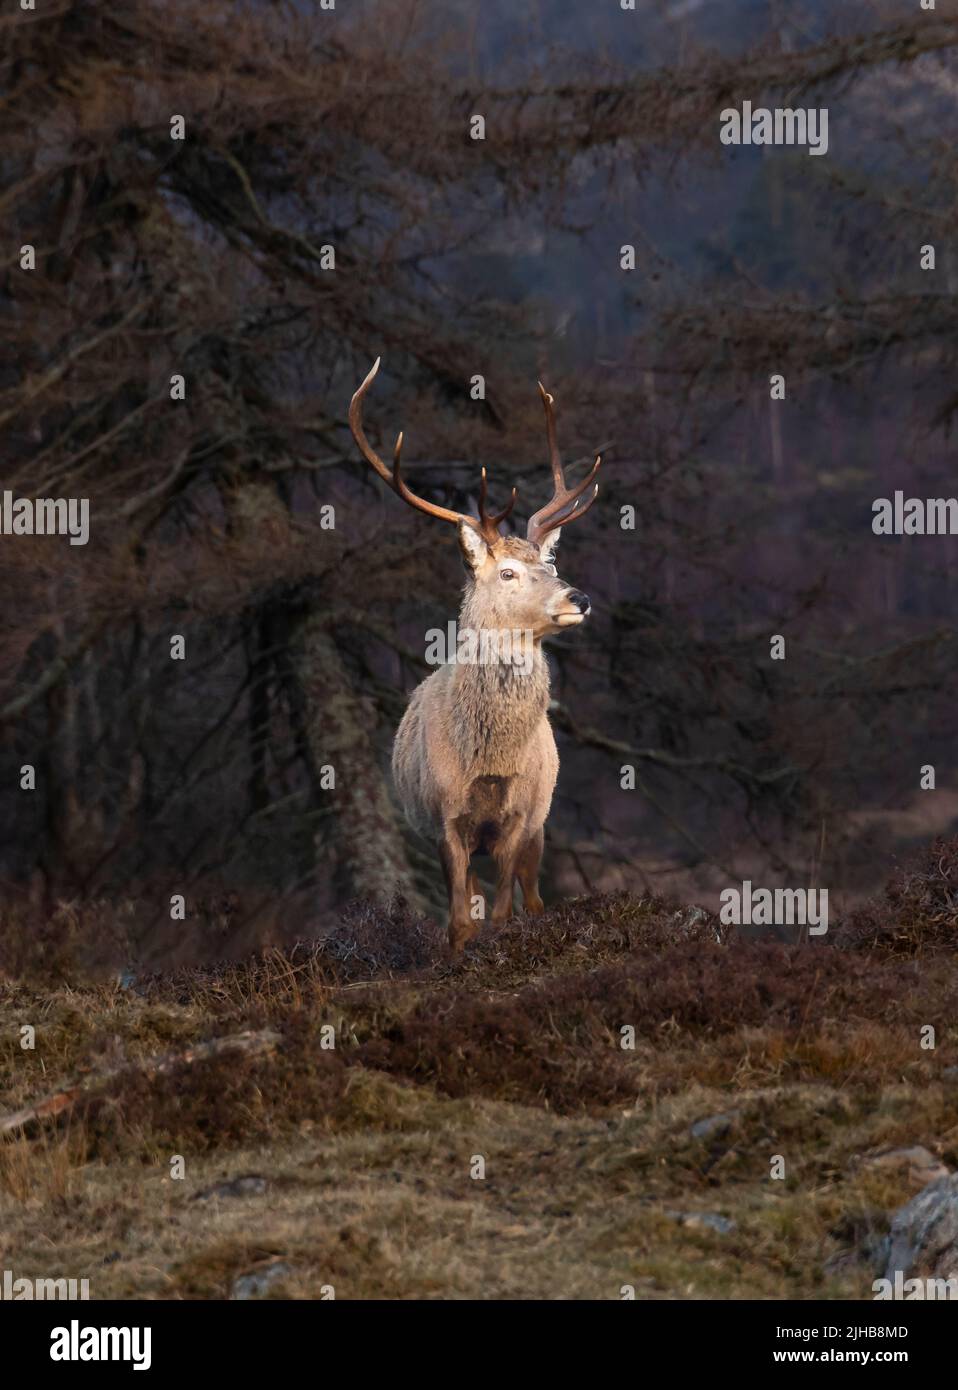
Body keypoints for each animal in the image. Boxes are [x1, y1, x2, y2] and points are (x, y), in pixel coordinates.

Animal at [349, 359, 600, 952]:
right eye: (506, 573)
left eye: (551, 565)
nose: (578, 598)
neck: (488, 762)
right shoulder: (443, 816)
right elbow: (460, 922)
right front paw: (462, 953)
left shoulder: (520, 817)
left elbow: (506, 910)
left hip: (542, 819)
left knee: (534, 896)